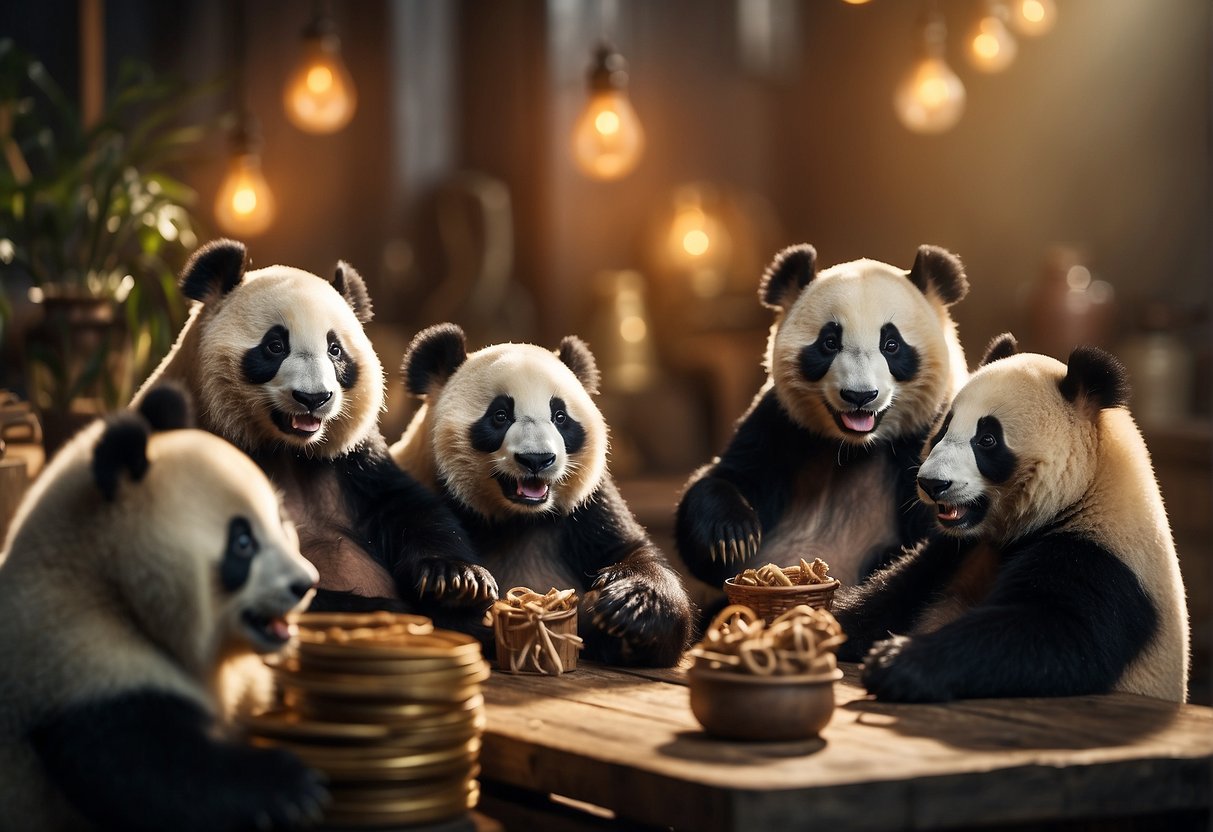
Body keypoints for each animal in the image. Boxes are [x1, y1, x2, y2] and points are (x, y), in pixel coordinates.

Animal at [0, 386, 326, 832]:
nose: (305, 583)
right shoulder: (74, 658)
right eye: (242, 544)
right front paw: (292, 786)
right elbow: (150, 774)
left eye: (282, 523)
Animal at [134, 239, 495, 618]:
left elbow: (409, 508)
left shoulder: (353, 461)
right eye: (275, 346)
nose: (314, 398)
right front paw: (393, 608)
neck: (284, 449)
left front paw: (458, 580)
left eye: (335, 350)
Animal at [390, 323, 694, 667]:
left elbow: (634, 552)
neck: (516, 517)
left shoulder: (587, 509)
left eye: (560, 417)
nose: (536, 459)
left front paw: (631, 612)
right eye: (500, 415)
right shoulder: (416, 481)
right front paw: (457, 582)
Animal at [676, 244, 969, 591]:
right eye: (829, 342)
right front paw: (730, 536)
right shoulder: (780, 424)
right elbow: (723, 479)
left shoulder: (929, 433)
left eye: (891, 344)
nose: (859, 396)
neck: (852, 447)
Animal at [834, 335, 1190, 703]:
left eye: (987, 440)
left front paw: (898, 662)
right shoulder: (959, 550)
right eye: (943, 429)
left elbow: (1052, 636)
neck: (1087, 489)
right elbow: (896, 590)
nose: (932, 484)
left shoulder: (1105, 563)